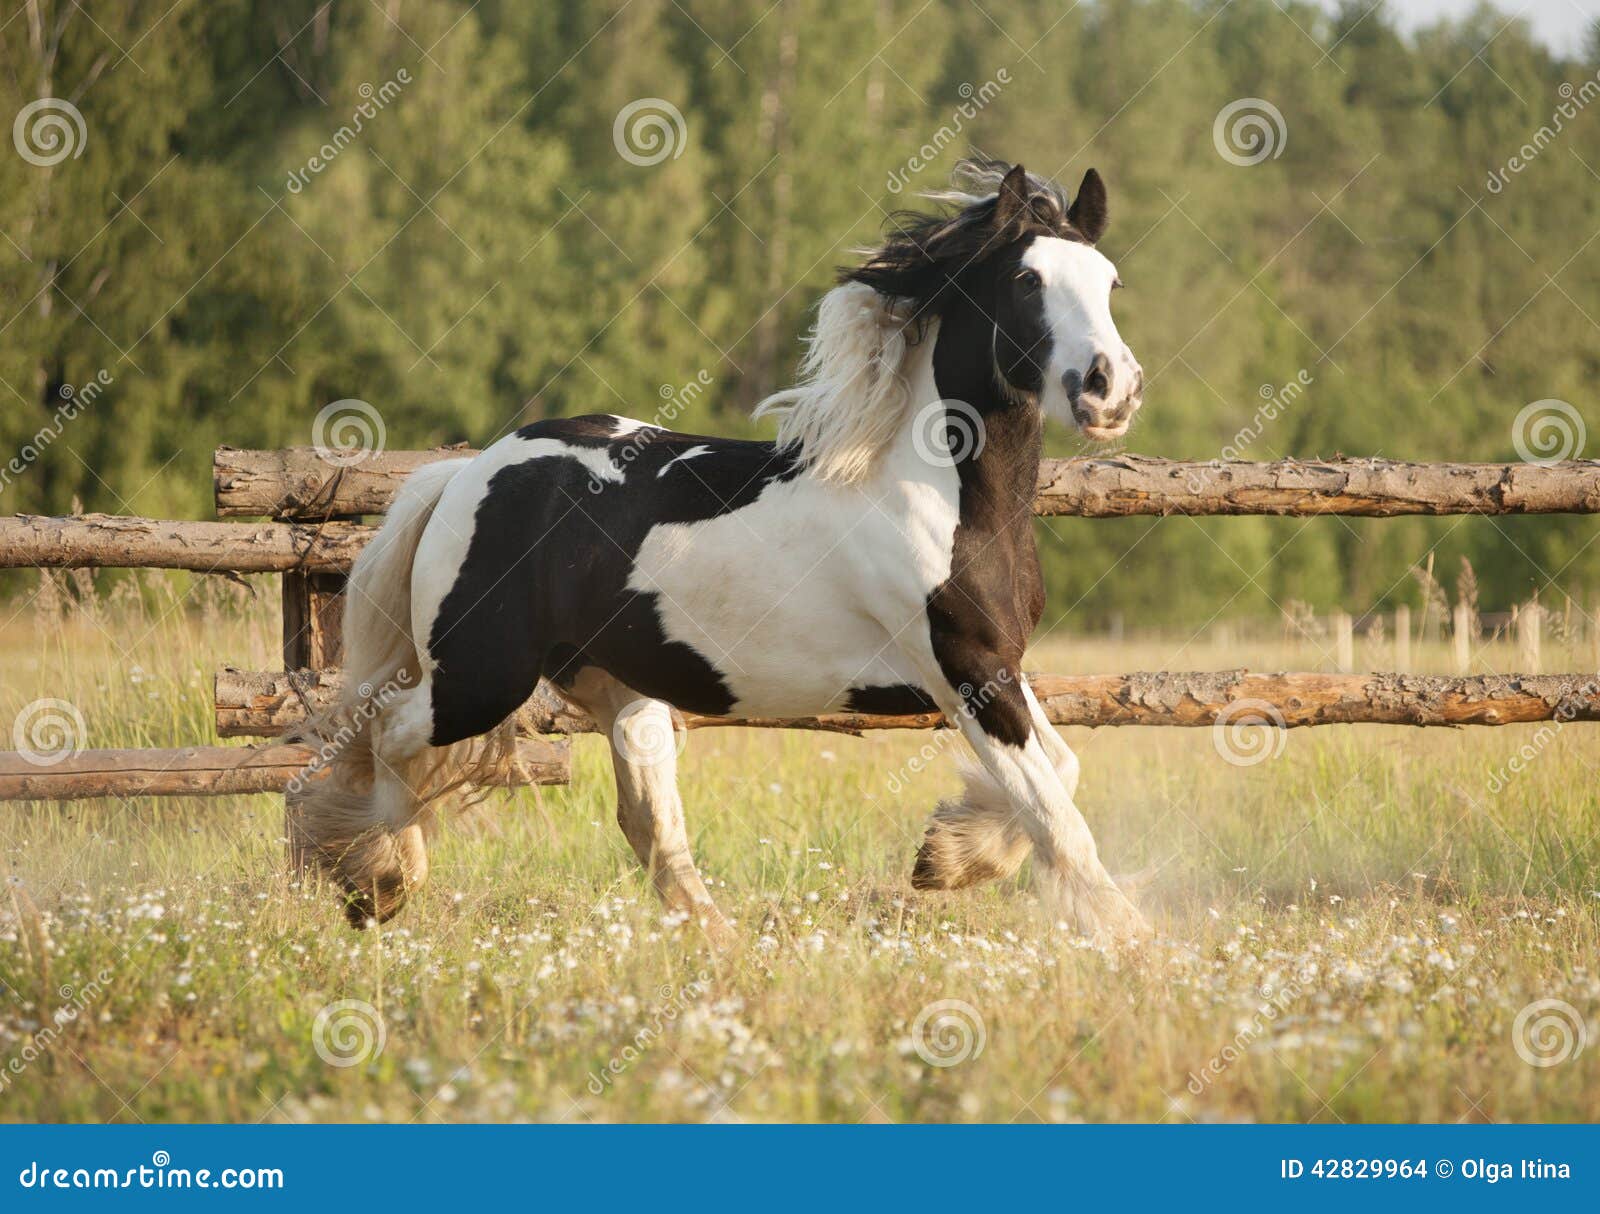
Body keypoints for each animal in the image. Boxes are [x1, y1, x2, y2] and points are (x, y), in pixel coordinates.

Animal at [292, 158, 1149, 943]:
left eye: (1109, 282)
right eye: (1028, 278)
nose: (1113, 389)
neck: (937, 495)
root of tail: (469, 472)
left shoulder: (999, 665)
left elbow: (1063, 771)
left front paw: (947, 856)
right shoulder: (963, 670)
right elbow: (1059, 819)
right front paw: (1129, 941)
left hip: (618, 685)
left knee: (646, 819)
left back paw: (714, 938)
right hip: (479, 679)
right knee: (384, 733)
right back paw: (379, 882)